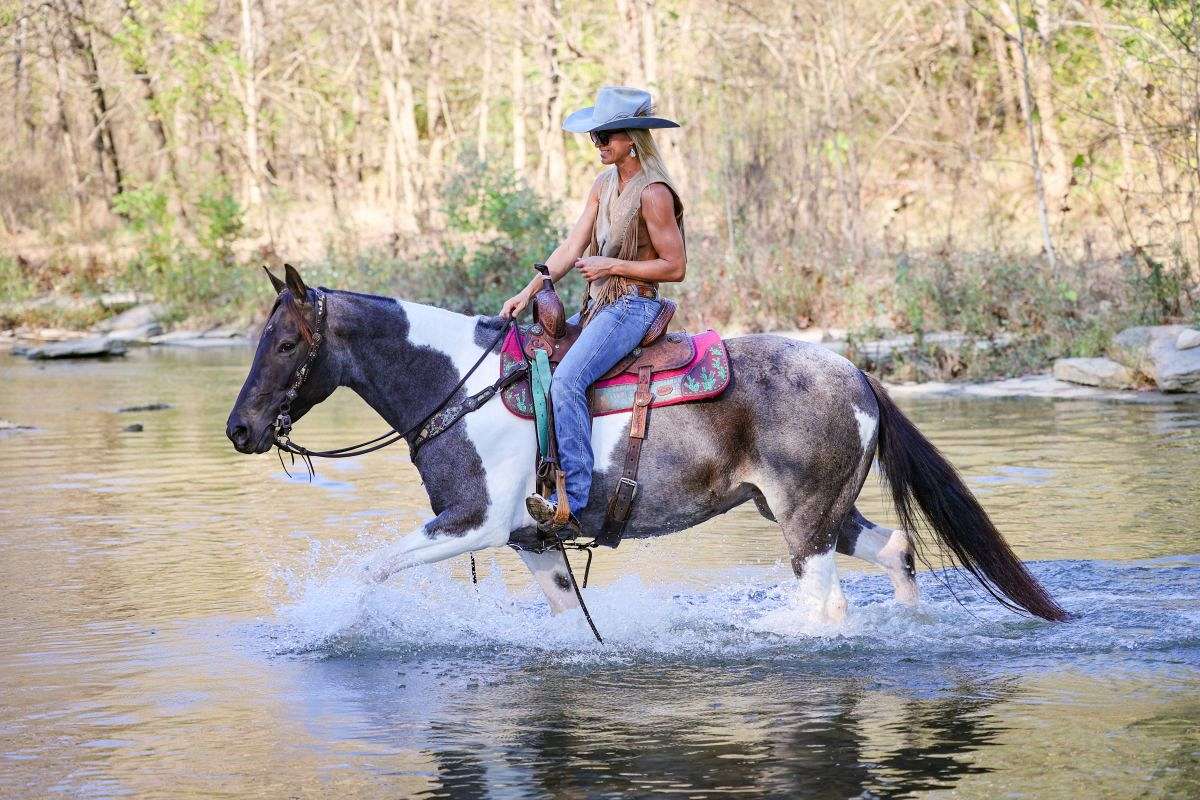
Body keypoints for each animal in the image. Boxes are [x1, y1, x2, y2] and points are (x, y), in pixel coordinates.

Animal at [226, 265, 1067, 625]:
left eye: (287, 342)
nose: (240, 428)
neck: (457, 384)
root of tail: (859, 375)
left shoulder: (472, 523)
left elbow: (370, 568)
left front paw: (338, 623)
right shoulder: (532, 541)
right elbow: (570, 621)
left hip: (804, 525)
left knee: (825, 604)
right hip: (820, 511)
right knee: (895, 549)